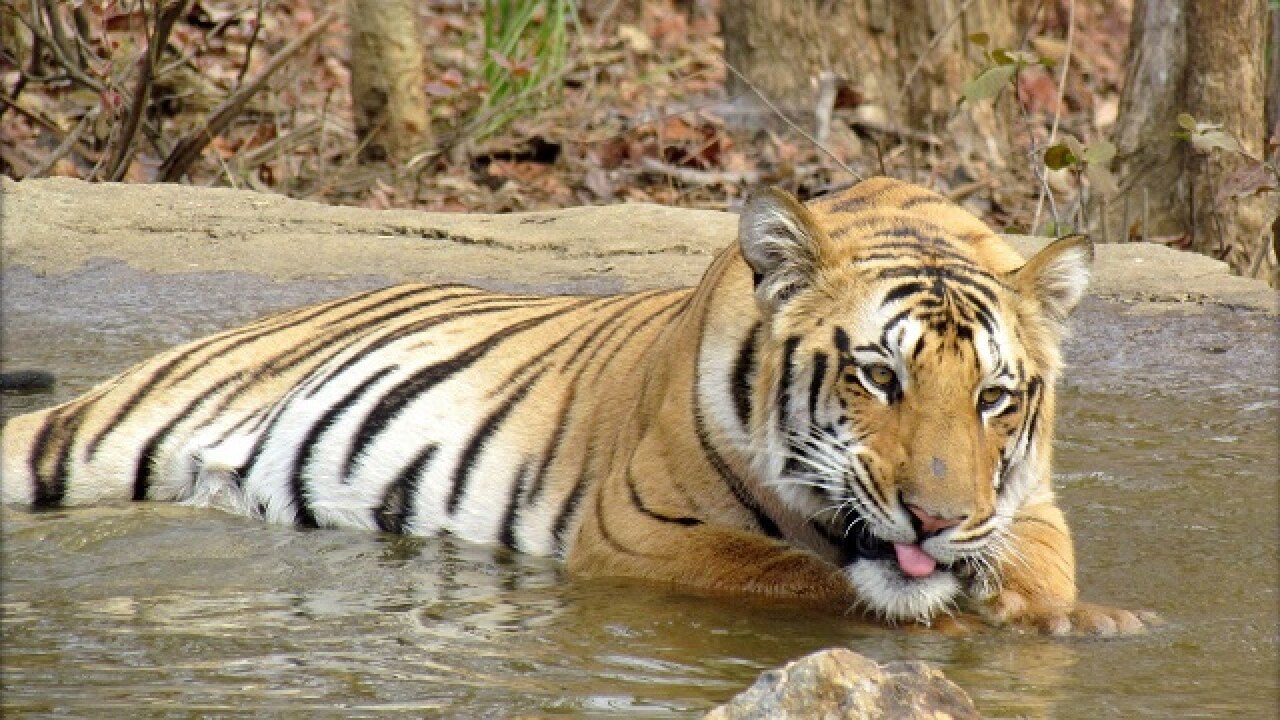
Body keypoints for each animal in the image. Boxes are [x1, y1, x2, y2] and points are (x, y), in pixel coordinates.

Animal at [1, 177, 1152, 634]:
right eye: (878, 376)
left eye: (994, 398)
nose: (936, 520)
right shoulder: (640, 531)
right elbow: (804, 578)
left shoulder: (1028, 504)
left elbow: (1040, 563)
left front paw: (1075, 618)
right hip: (85, 435)